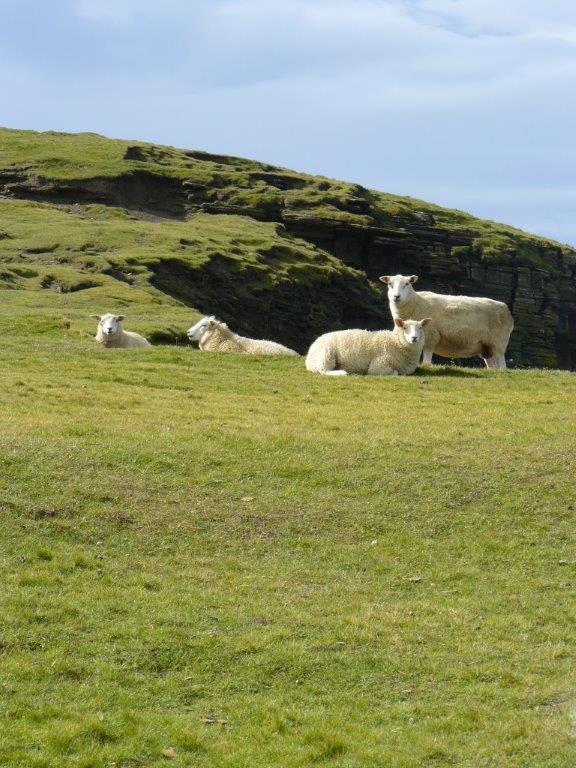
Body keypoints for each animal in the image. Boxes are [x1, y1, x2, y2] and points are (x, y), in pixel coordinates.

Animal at [379, 274, 514, 369]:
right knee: (492, 366)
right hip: (486, 347)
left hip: (499, 342)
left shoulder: (431, 337)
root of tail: (506, 310)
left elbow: (426, 361)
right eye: (390, 284)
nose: (396, 297)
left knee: (502, 365)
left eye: (407, 283)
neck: (417, 303)